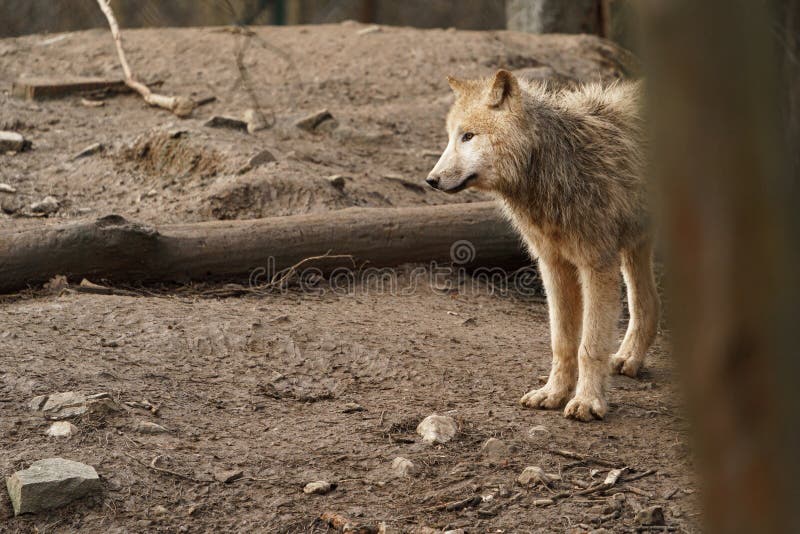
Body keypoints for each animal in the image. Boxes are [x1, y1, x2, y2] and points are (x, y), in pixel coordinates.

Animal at [427, 70, 659, 421]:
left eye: (468, 136)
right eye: (451, 137)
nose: (431, 180)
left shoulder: (597, 265)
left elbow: (590, 346)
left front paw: (587, 402)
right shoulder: (553, 265)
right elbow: (562, 342)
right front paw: (553, 394)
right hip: (635, 247)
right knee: (646, 304)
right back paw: (629, 359)